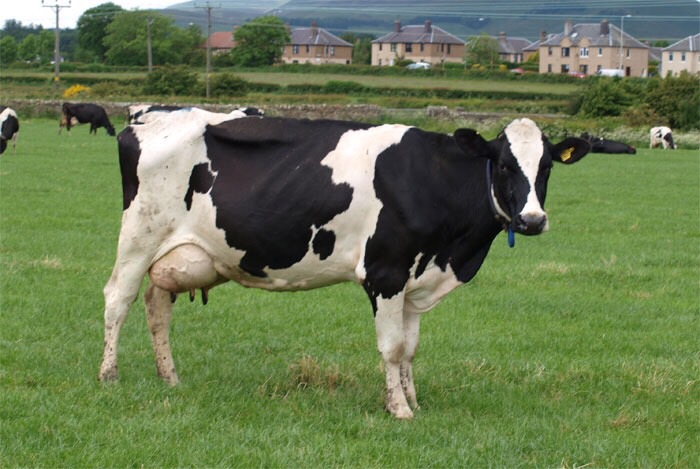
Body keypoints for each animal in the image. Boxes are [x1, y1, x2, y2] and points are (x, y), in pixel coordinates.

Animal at [98, 108, 590, 419]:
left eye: (546, 166)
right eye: (504, 165)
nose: (532, 220)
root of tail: (145, 119)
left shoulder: (416, 278)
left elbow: (410, 348)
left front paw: (412, 399)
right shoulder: (385, 272)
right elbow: (391, 347)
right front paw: (398, 409)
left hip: (174, 255)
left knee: (157, 306)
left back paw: (170, 378)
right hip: (139, 236)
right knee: (118, 299)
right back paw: (109, 375)